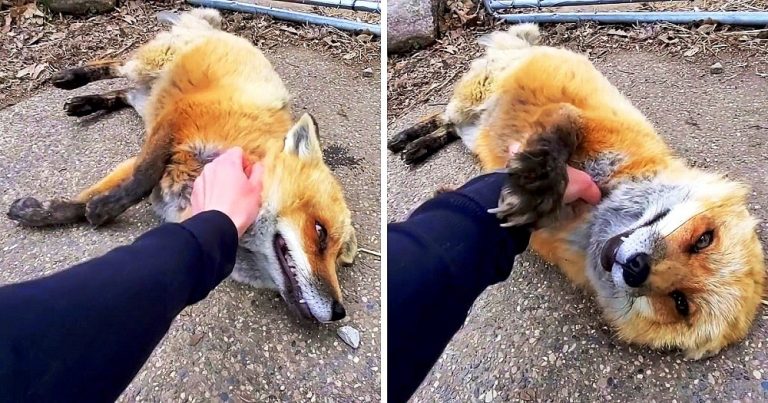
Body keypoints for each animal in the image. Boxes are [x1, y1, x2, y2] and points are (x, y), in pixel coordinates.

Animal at [6, 9, 358, 323]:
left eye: (339, 258)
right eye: (319, 232)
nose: (339, 312)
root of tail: (219, 31)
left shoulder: (160, 147)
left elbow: (97, 195)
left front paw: (53, 211)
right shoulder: (179, 119)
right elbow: (139, 180)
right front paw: (93, 209)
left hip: (144, 101)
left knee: (122, 92)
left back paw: (87, 103)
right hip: (146, 69)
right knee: (115, 64)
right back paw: (72, 78)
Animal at [389, 24, 766, 359]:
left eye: (681, 303)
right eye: (703, 239)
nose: (637, 269)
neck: (591, 216)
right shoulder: (577, 121)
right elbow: (561, 132)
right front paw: (540, 184)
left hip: (471, 131)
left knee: (450, 127)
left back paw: (420, 144)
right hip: (472, 100)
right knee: (444, 116)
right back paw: (409, 139)